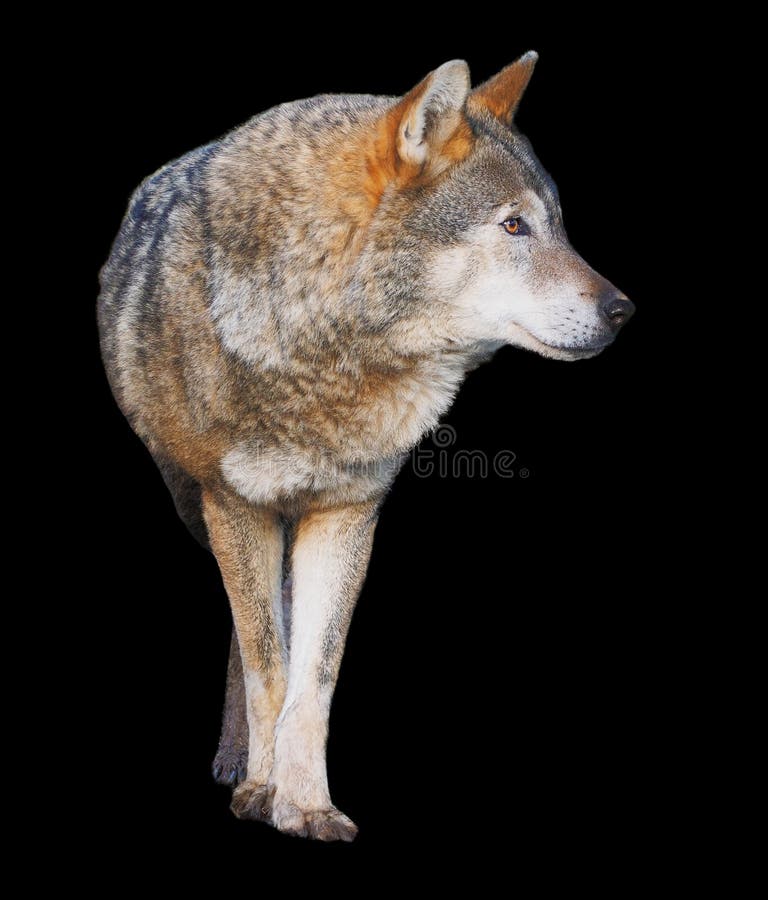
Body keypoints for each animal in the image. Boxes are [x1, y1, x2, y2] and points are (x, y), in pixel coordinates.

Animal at [98, 53, 634, 842]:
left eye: (559, 228)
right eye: (513, 226)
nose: (622, 310)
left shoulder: (349, 514)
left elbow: (312, 679)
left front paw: (306, 803)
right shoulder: (237, 508)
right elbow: (269, 667)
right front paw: (262, 790)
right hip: (197, 511)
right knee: (244, 632)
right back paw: (236, 759)